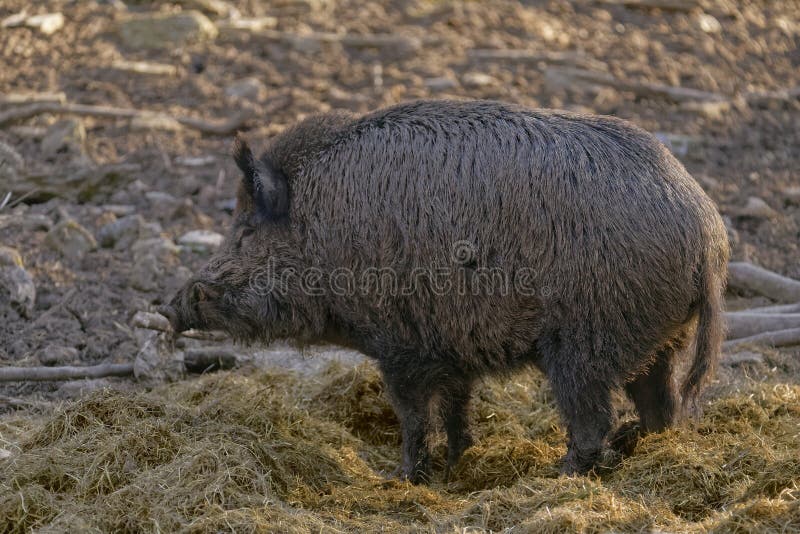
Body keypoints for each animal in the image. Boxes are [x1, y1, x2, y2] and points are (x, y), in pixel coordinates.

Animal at [159, 99, 729, 482]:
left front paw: (400, 478)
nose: (169, 306)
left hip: (584, 342)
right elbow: (456, 408)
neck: (316, 227)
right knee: (662, 408)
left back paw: (558, 473)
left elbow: (413, 415)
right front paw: (459, 461)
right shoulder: (452, 347)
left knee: (594, 419)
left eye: (245, 231)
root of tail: (707, 238)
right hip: (660, 339)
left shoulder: (400, 345)